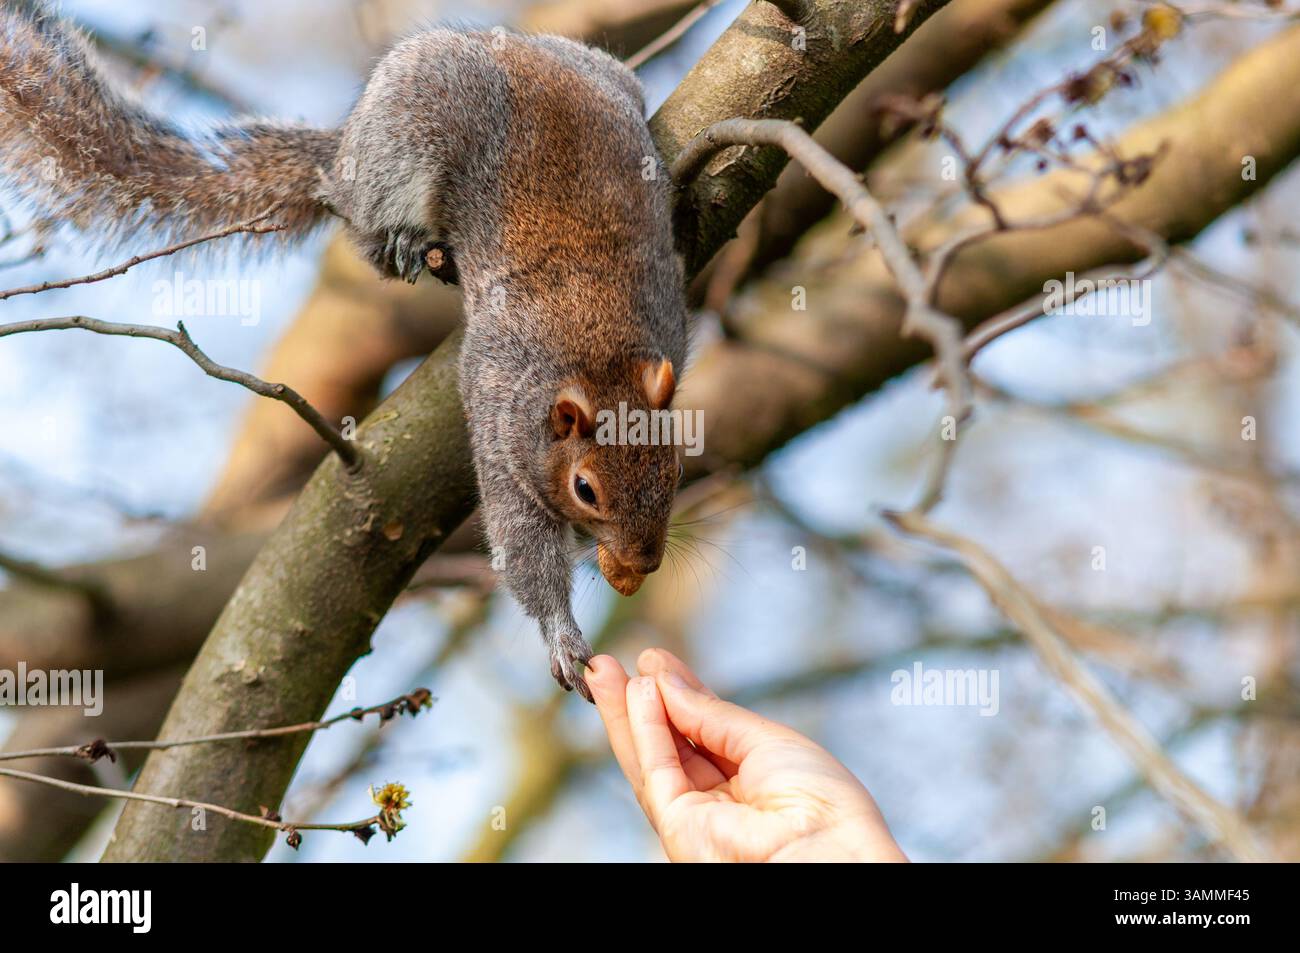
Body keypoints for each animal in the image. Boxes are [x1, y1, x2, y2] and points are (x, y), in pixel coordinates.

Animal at [0, 2, 689, 701]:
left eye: (675, 468)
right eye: (585, 488)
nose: (644, 561)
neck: (598, 355)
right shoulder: (502, 421)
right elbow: (521, 544)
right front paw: (561, 637)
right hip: (402, 140)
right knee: (354, 212)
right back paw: (397, 238)